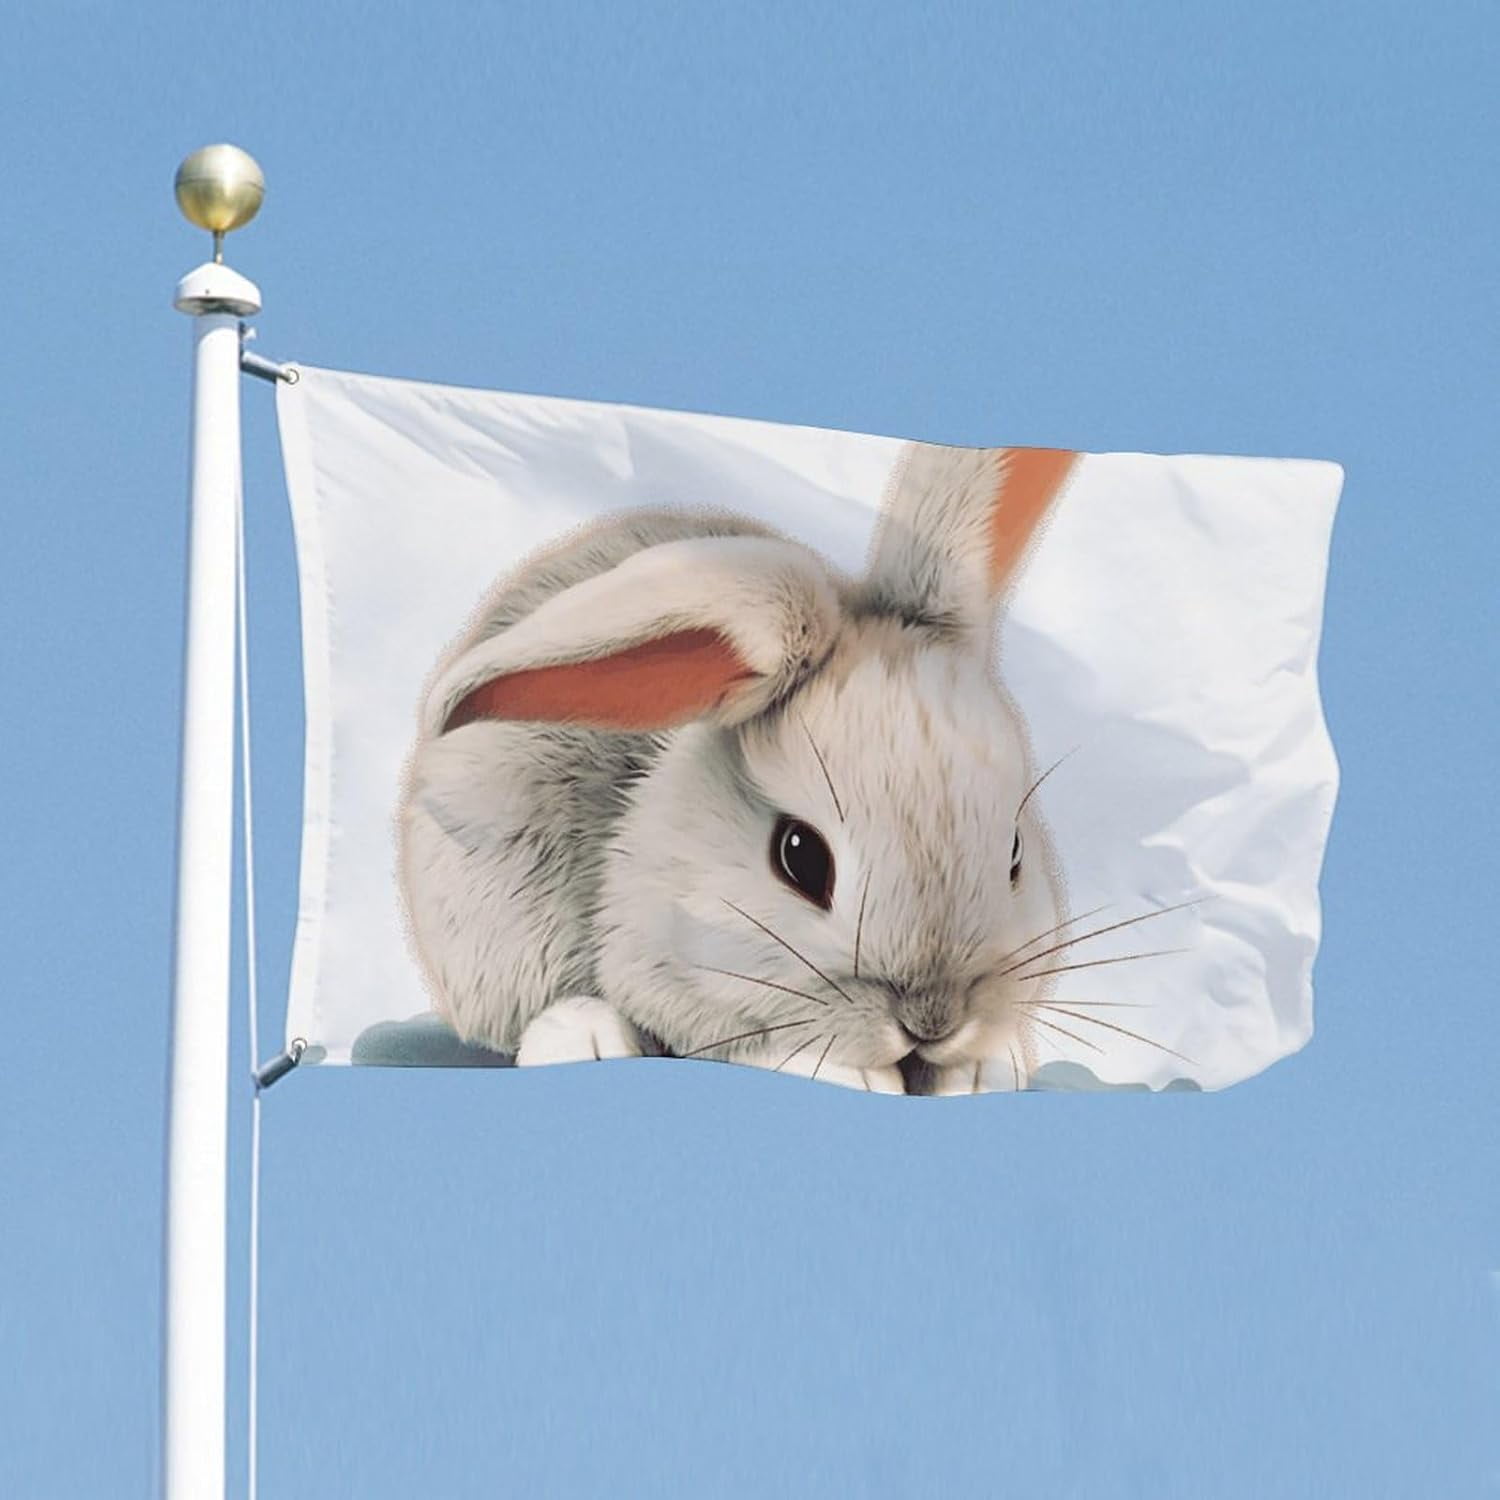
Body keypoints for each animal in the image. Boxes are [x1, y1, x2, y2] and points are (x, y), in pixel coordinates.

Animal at [398, 442, 1078, 1095]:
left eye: (1014, 854)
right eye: (802, 857)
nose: (933, 1020)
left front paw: (982, 1070)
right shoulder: (663, 965)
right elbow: (746, 1041)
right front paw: (852, 1074)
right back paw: (585, 1038)